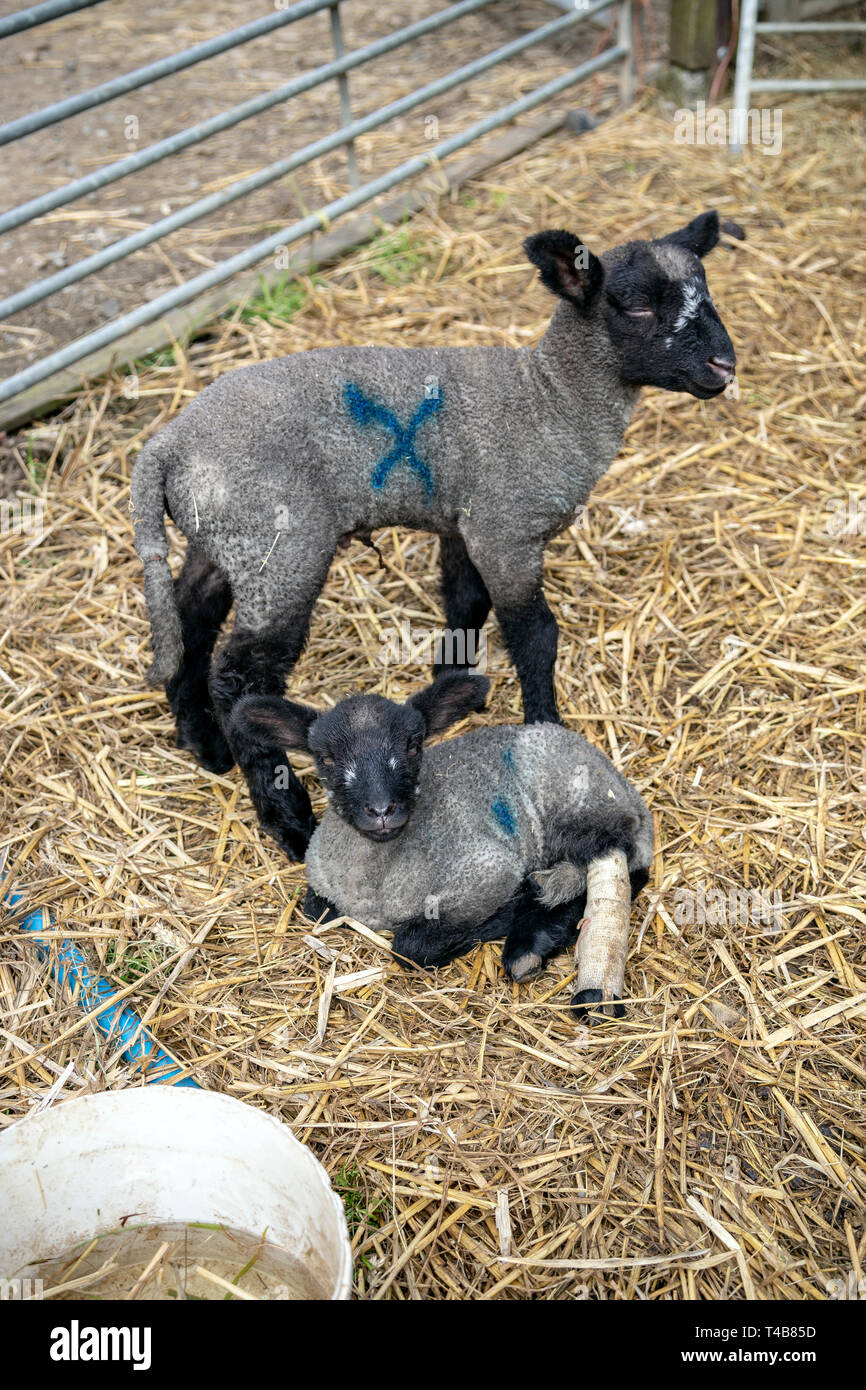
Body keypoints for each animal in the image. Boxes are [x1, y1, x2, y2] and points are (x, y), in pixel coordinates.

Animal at [131, 209, 741, 861]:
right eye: (638, 307)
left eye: (706, 289)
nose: (725, 366)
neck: (551, 400)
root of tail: (167, 446)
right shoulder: (506, 530)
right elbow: (534, 635)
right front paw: (543, 725)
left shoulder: (465, 524)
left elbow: (464, 606)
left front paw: (452, 690)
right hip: (279, 553)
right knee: (240, 677)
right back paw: (287, 819)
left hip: (223, 538)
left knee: (189, 618)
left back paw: (203, 743)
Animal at [231, 673, 654, 1021]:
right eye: (326, 757)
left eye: (414, 745)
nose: (381, 809)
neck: (375, 885)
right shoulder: (321, 884)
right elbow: (315, 909)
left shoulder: (488, 870)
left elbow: (409, 946)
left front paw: (511, 907)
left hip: (581, 806)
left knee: (616, 863)